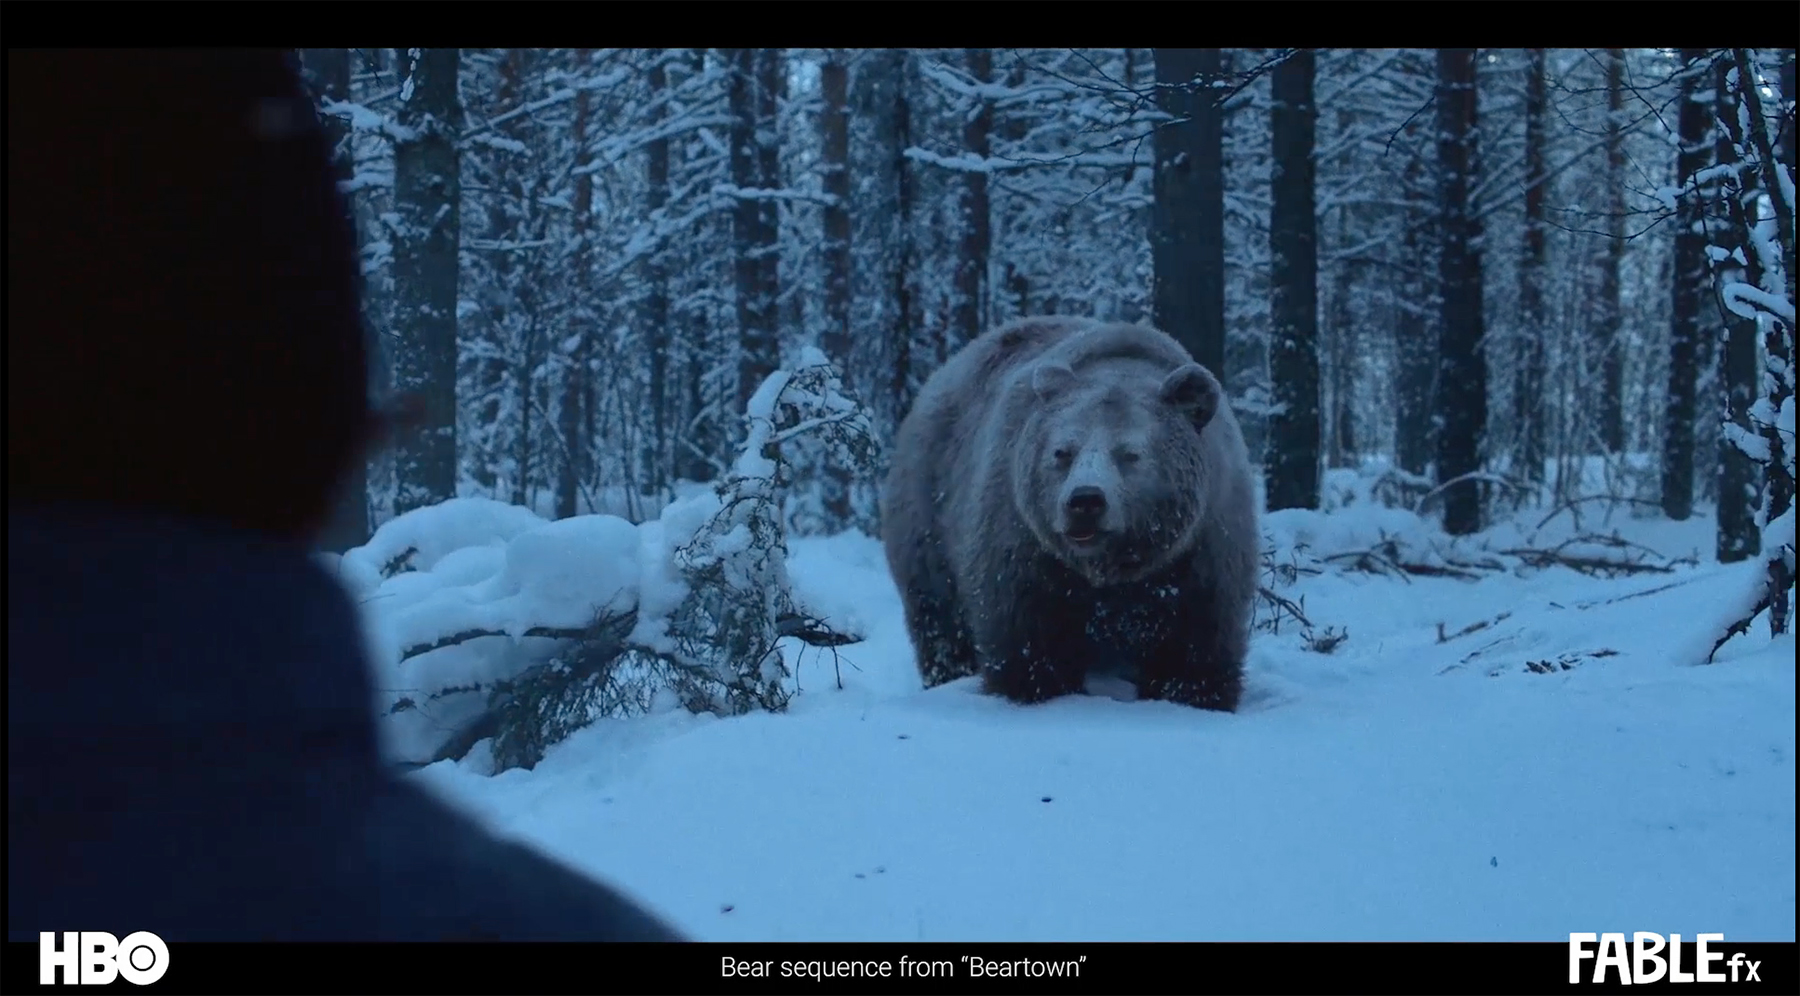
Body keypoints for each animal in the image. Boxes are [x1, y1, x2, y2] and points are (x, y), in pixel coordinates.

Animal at [881, 315, 1259, 712]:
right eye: (1063, 451)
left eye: (1130, 453)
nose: (1085, 501)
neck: (1116, 568)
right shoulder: (1027, 550)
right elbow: (1026, 640)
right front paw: (1035, 688)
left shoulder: (1203, 553)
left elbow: (1196, 647)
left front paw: (1193, 694)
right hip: (929, 518)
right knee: (940, 622)